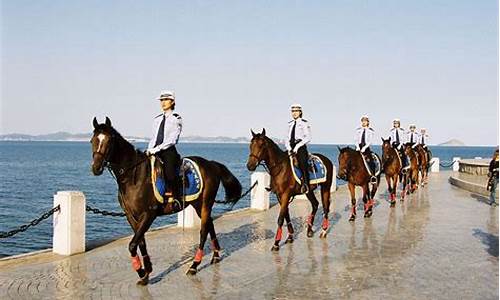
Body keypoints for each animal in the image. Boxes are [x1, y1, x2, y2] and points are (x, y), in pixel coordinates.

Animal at [93, 116, 245, 284]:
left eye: (109, 141)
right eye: (93, 140)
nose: (96, 168)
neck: (134, 176)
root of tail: (211, 163)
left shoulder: (149, 214)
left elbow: (132, 245)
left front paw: (141, 271)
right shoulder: (131, 216)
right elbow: (140, 242)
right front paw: (147, 270)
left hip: (206, 202)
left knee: (204, 230)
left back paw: (194, 265)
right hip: (198, 204)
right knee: (209, 224)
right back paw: (216, 255)